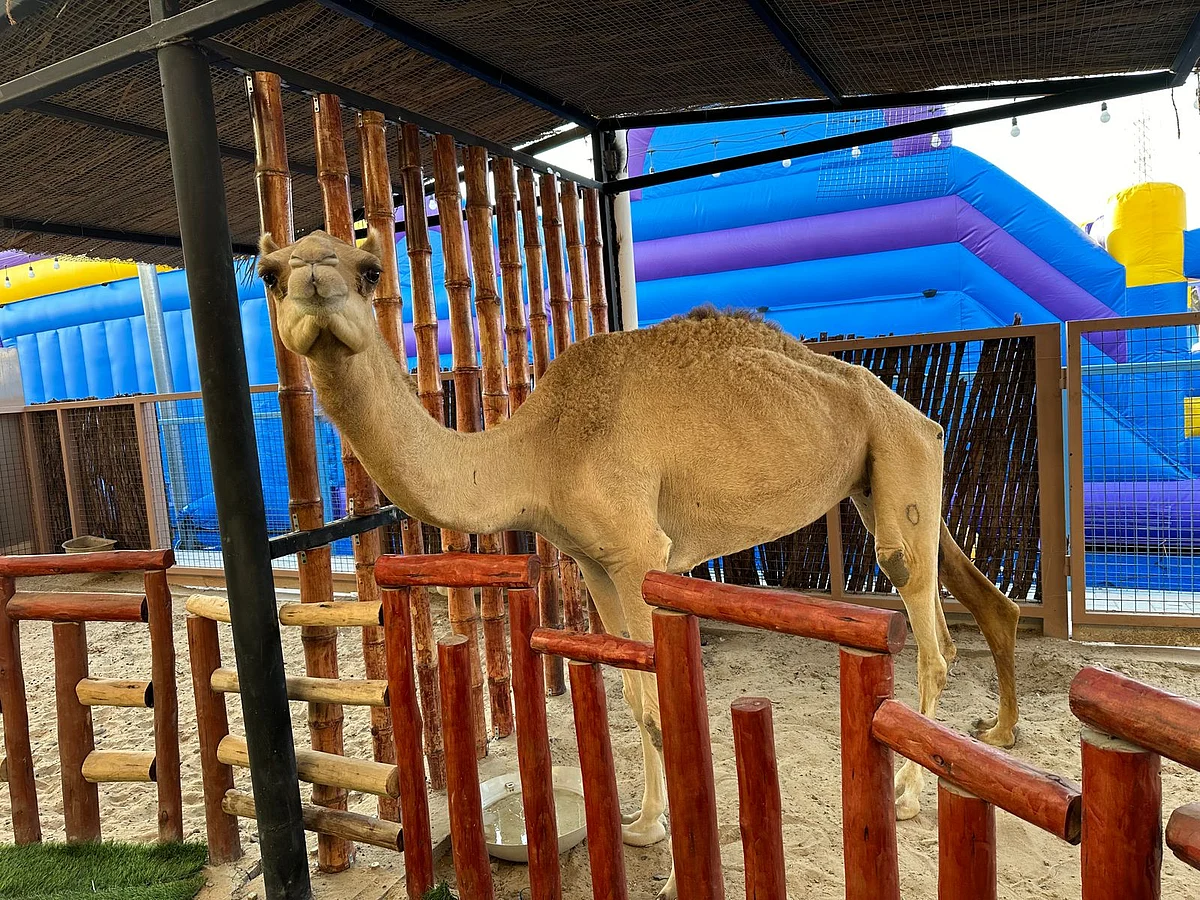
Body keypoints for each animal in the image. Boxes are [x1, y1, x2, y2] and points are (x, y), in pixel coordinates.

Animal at [257, 229, 1022, 897]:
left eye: (369, 271)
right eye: (269, 274)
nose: (315, 281)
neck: (538, 448)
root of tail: (922, 414)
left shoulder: (638, 553)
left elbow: (661, 708)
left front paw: (677, 874)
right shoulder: (594, 561)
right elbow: (631, 695)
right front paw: (643, 826)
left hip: (897, 472)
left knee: (930, 634)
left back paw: (910, 795)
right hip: (884, 478)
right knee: (968, 608)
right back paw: (993, 733)